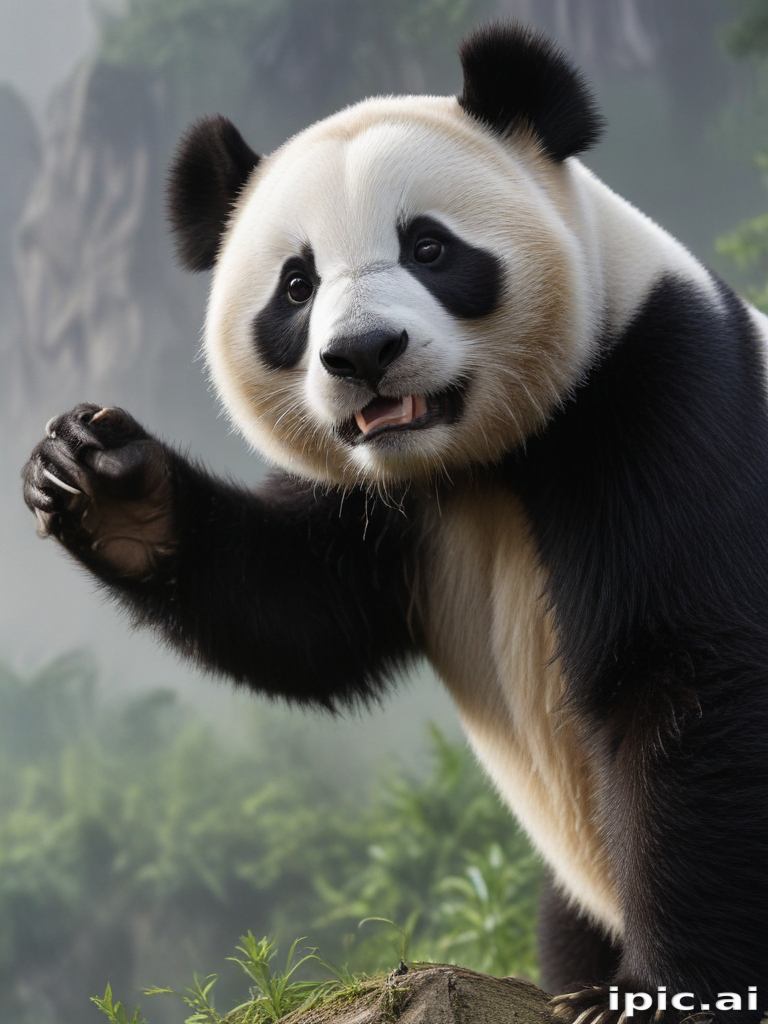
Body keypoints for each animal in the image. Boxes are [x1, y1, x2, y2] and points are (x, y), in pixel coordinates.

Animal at [22, 21, 768, 1023]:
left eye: (429, 247)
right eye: (296, 285)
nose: (365, 353)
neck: (480, 462)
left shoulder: (665, 391)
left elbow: (685, 680)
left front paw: (649, 992)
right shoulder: (386, 508)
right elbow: (300, 613)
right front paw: (103, 480)